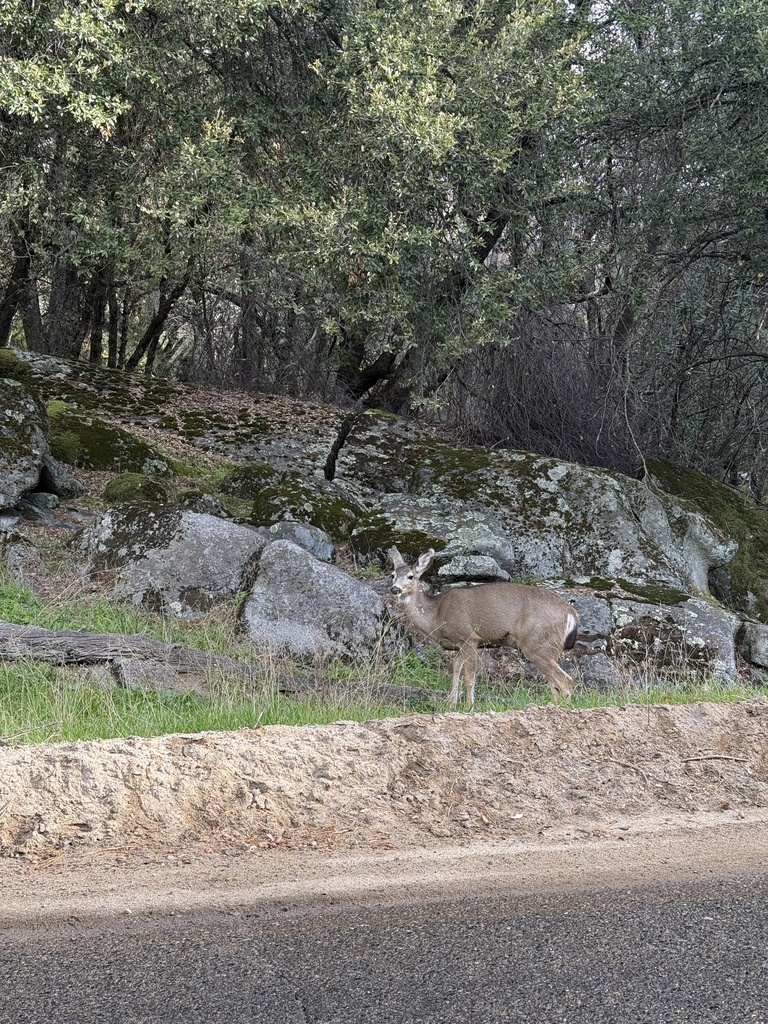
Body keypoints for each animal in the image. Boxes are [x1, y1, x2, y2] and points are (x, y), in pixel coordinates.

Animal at [389, 547, 579, 709]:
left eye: (411, 576)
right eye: (392, 574)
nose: (394, 589)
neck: (436, 615)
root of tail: (571, 614)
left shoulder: (469, 637)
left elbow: (469, 675)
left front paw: (469, 706)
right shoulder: (458, 644)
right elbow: (455, 668)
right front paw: (451, 702)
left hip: (537, 643)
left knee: (565, 681)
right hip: (547, 647)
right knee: (554, 684)